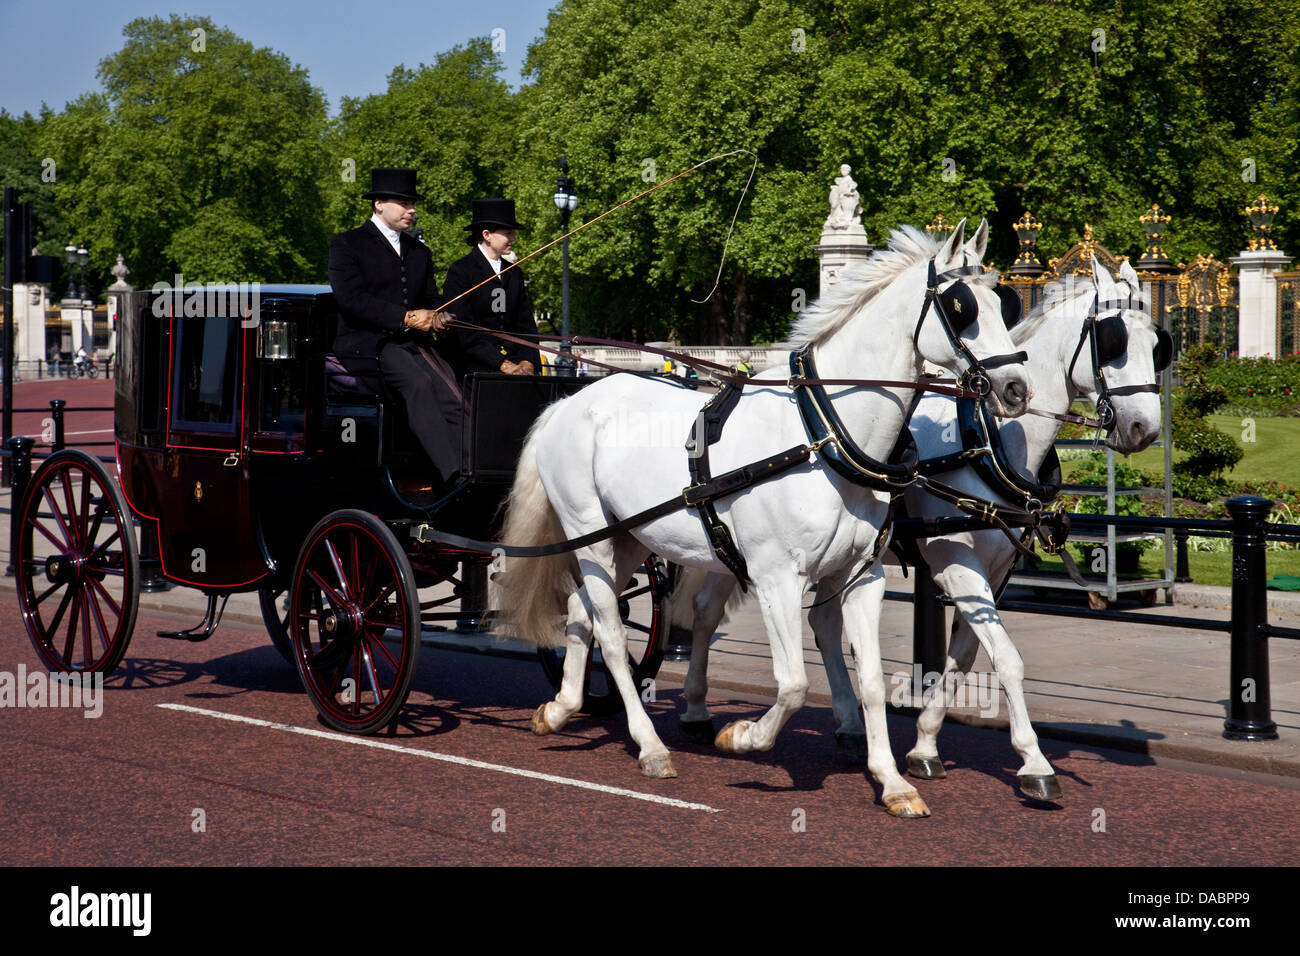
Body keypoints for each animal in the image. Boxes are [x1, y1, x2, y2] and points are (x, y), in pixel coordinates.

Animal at [495, 218, 1032, 818]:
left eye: (1003, 302)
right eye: (963, 306)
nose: (1016, 389)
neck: (825, 435)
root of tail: (568, 403)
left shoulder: (861, 576)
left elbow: (870, 680)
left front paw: (893, 782)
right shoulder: (776, 577)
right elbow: (793, 684)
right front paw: (743, 737)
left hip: (628, 536)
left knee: (580, 610)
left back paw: (561, 707)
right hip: (589, 532)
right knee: (610, 633)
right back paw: (650, 745)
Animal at [670, 254, 1167, 803]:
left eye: (1158, 345)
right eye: (1114, 338)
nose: (1146, 428)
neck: (988, 442)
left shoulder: (993, 571)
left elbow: (963, 658)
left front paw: (925, 745)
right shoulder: (955, 562)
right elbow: (1007, 659)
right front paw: (1033, 761)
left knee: (820, 625)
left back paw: (848, 723)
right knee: (706, 611)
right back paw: (696, 707)